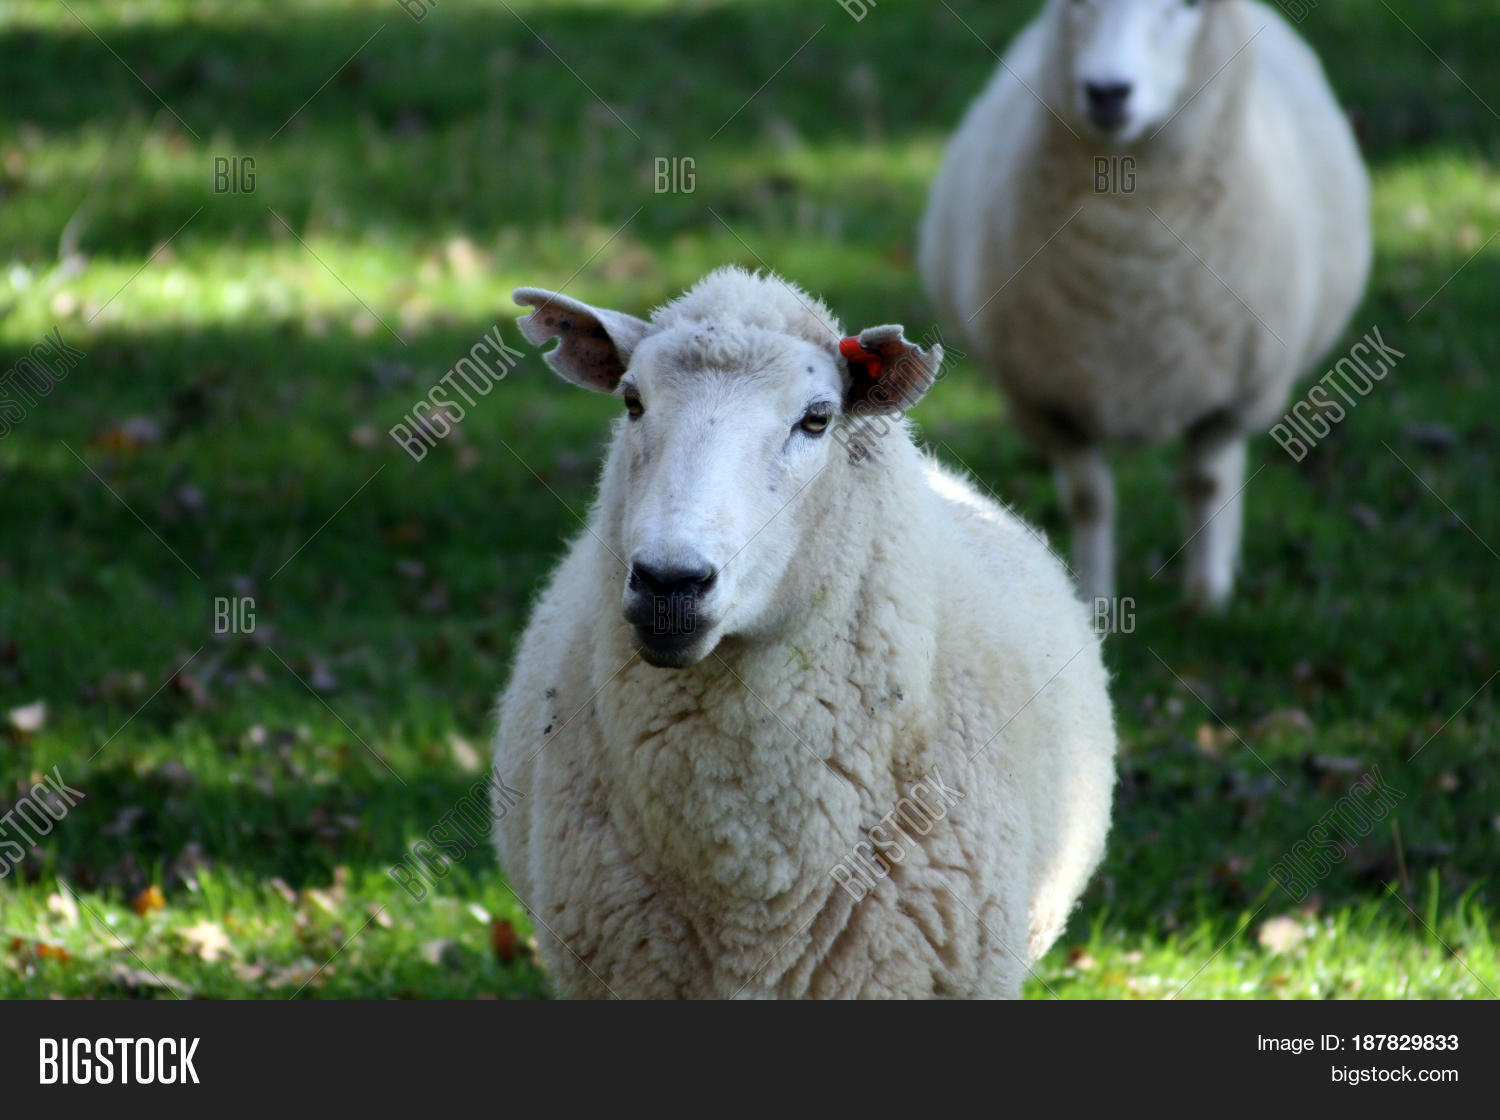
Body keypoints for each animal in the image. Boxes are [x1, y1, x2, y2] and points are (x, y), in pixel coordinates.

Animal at [920, 0, 1372, 609]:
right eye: (1075, 7)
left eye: (1187, 7)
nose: (1107, 91)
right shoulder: (1045, 401)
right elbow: (1089, 499)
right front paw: (1092, 599)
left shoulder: (1237, 396)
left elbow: (1205, 481)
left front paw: (1206, 598)